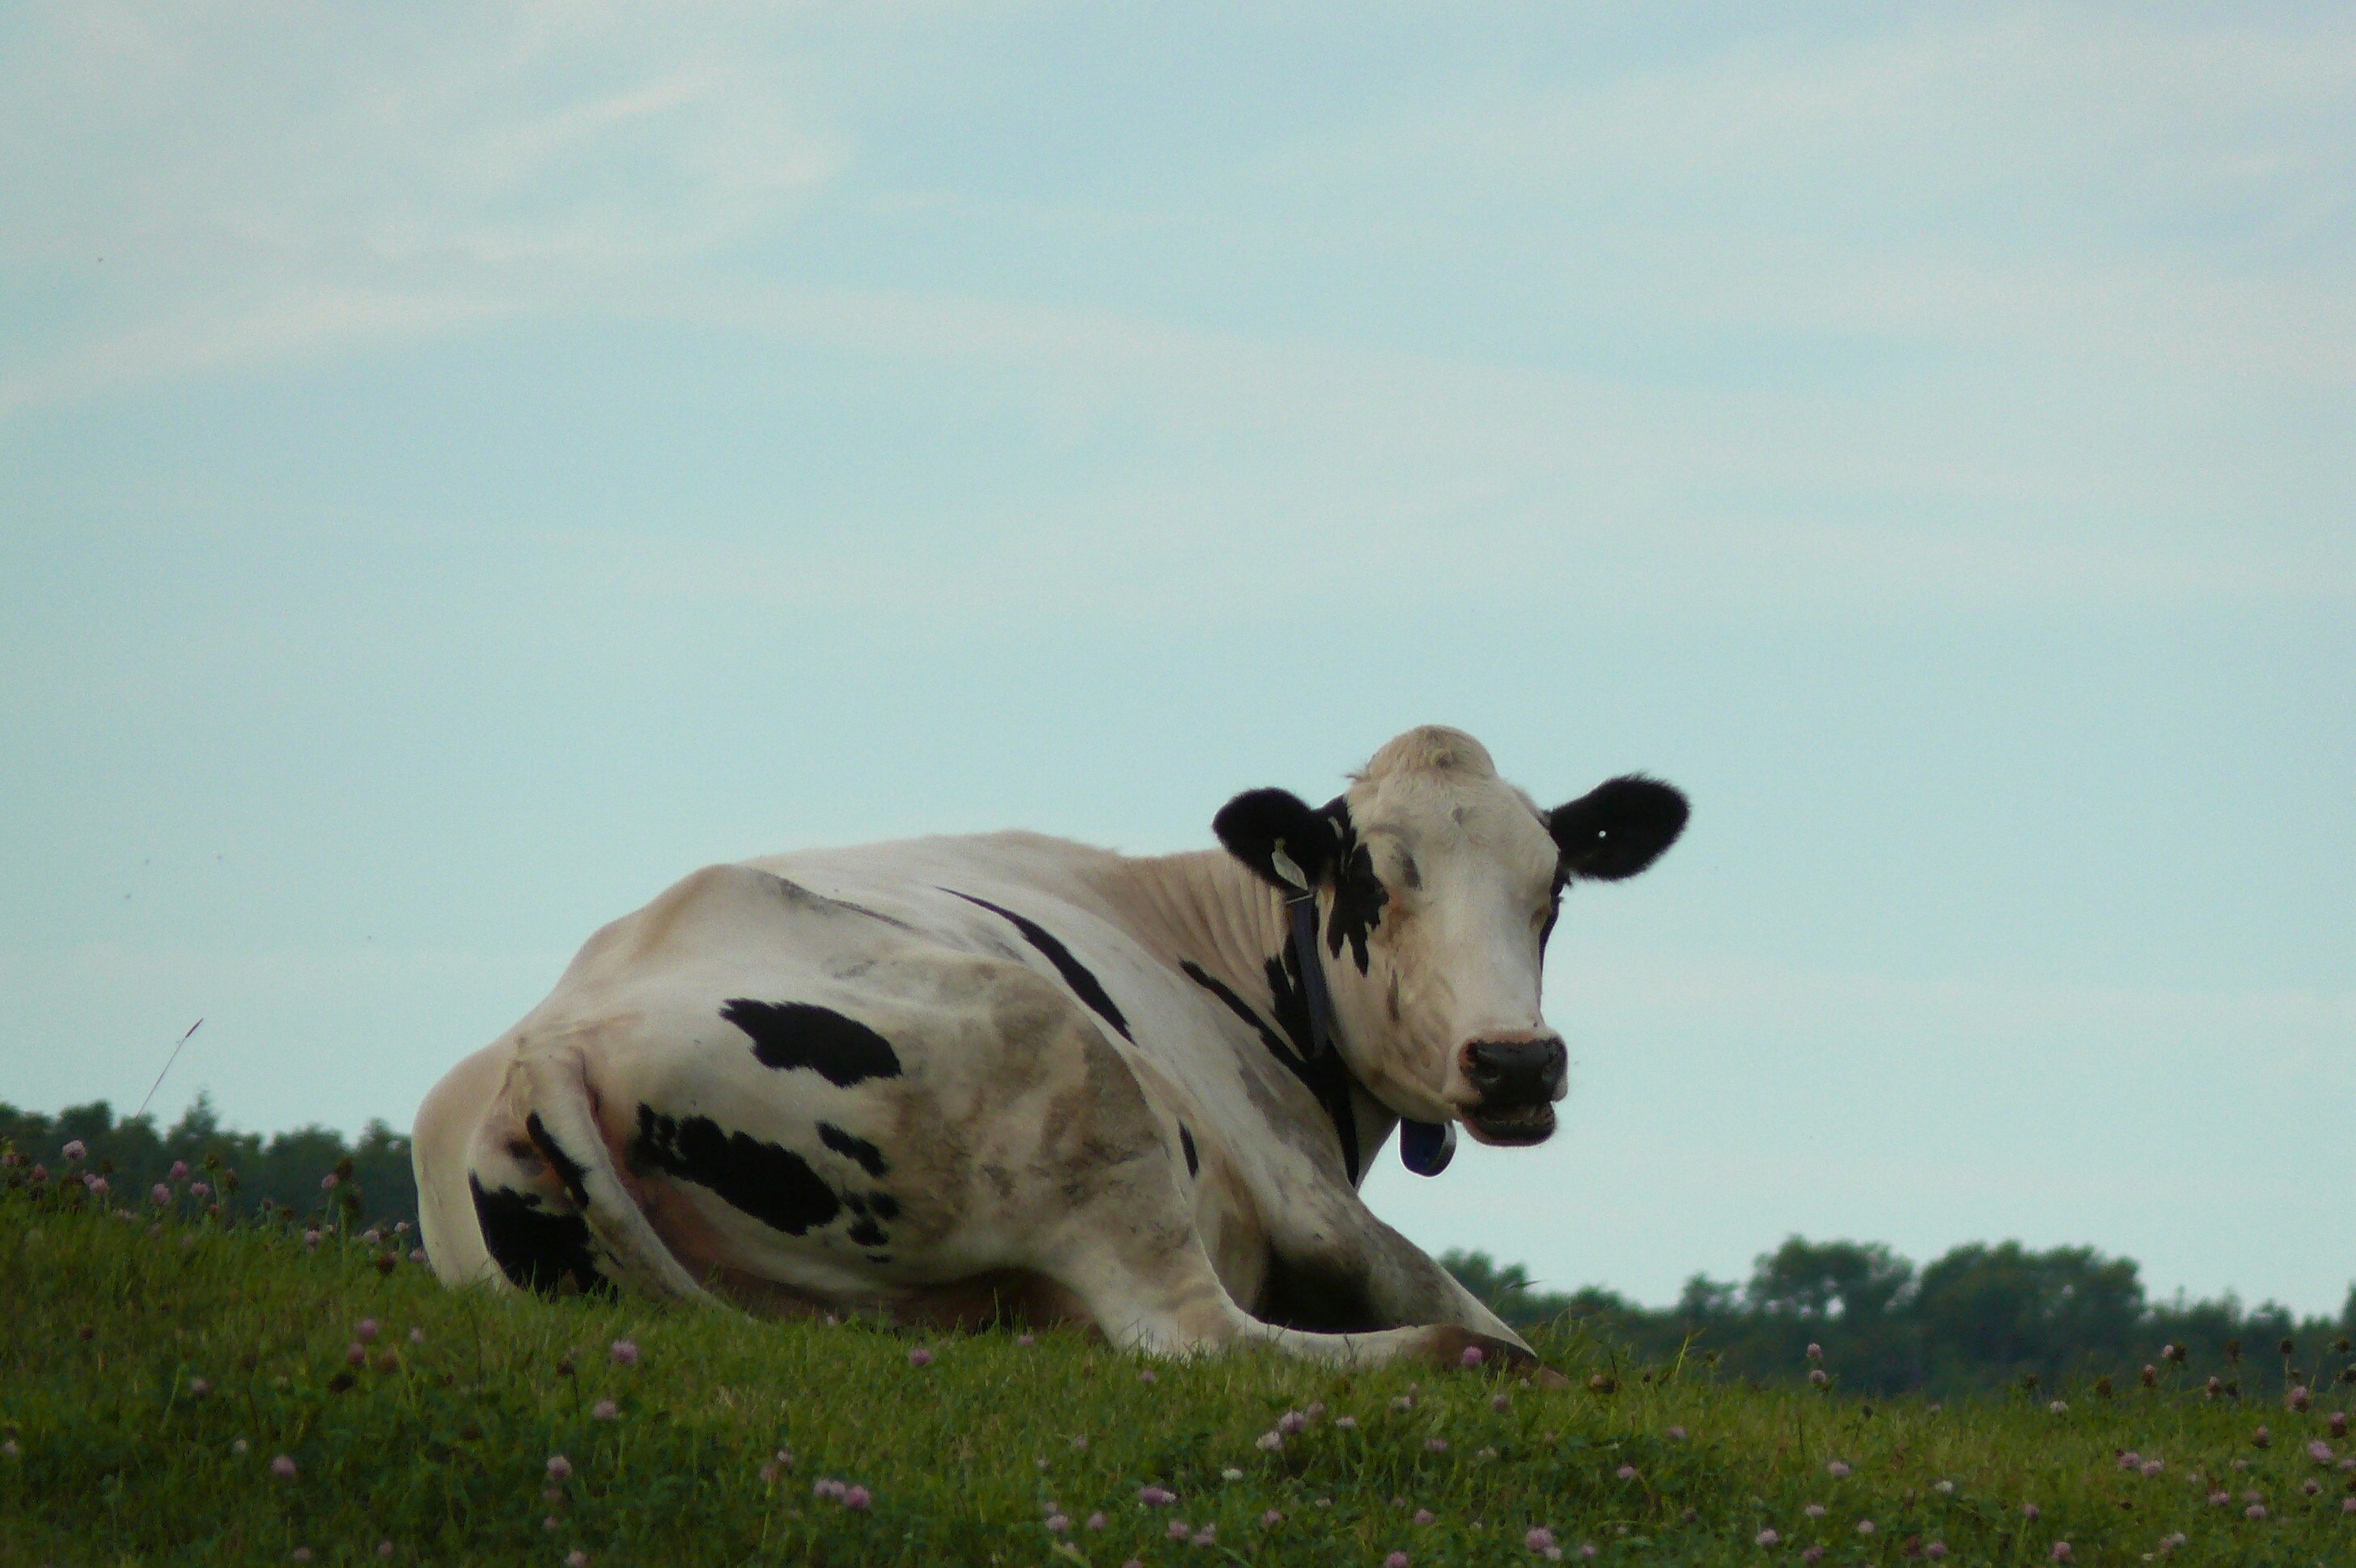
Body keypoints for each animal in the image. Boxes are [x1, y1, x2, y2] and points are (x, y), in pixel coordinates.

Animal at [412, 726, 1687, 1371]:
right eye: (1371, 883)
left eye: (1553, 889)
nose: (1515, 1062)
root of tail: (550, 1044)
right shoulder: (1310, 1200)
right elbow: (1463, 1298)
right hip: (1074, 1077)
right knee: (1199, 1334)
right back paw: (1468, 1363)